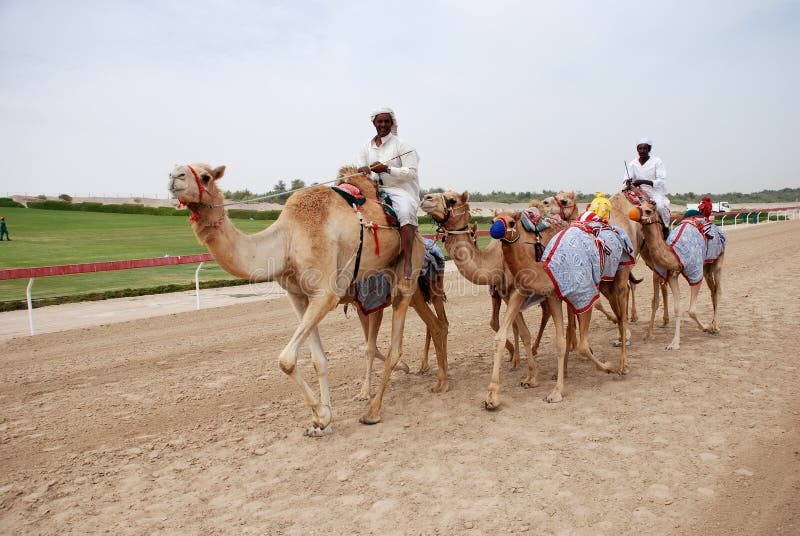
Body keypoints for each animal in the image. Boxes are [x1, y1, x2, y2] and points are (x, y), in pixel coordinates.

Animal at [168, 163, 448, 435]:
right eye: (176, 168)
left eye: (205, 176)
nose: (174, 176)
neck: (288, 239)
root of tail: (421, 237)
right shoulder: (298, 296)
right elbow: (318, 360)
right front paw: (323, 420)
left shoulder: (325, 294)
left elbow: (286, 359)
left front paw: (321, 415)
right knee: (433, 325)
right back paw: (432, 376)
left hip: (406, 271)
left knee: (397, 343)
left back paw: (374, 411)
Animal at [492, 206, 632, 405]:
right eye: (493, 219)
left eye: (511, 222)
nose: (494, 230)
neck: (546, 270)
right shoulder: (553, 296)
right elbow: (560, 342)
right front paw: (556, 390)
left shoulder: (584, 294)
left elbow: (582, 345)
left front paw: (608, 367)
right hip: (605, 282)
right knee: (615, 316)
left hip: (620, 272)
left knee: (623, 315)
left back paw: (623, 365)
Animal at [629, 198, 725, 350]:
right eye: (638, 205)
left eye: (648, 210)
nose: (631, 213)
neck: (673, 253)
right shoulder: (672, 275)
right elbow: (677, 308)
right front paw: (674, 342)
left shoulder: (695, 273)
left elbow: (691, 310)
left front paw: (706, 327)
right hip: (706, 267)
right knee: (713, 290)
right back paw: (714, 323)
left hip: (718, 259)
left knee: (719, 290)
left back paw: (715, 326)